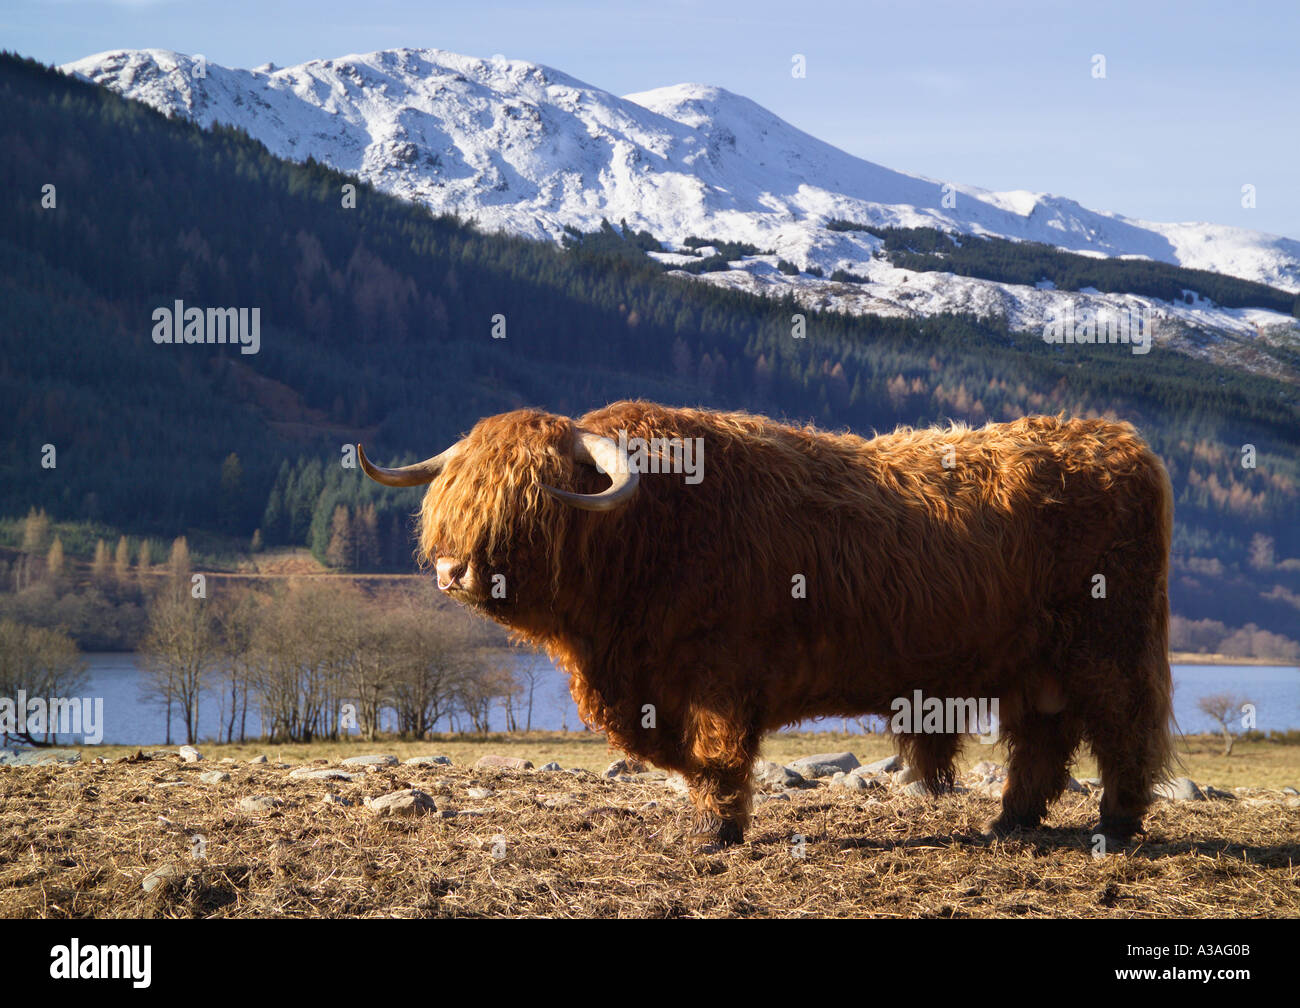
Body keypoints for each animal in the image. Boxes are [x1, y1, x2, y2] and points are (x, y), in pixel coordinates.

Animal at [359, 400, 1174, 849]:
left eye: (528, 497)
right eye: (454, 493)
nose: (453, 570)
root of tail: (1117, 440)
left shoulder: (722, 673)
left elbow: (717, 752)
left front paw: (714, 833)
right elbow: (674, 755)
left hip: (1109, 645)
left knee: (1124, 729)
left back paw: (1117, 824)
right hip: (1036, 662)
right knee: (1043, 736)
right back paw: (1011, 822)